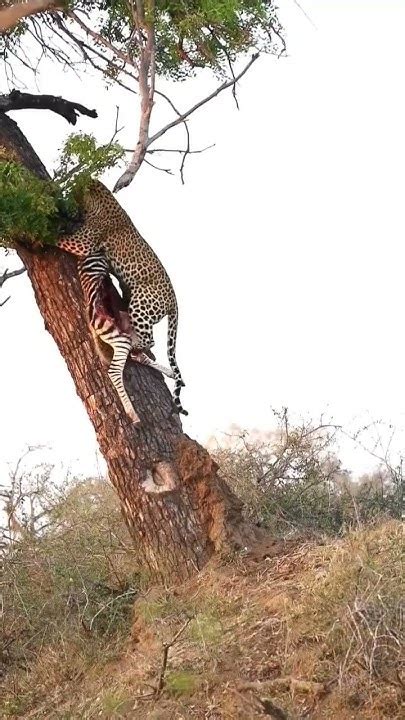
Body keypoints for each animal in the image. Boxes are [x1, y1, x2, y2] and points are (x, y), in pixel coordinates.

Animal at [57, 180, 187, 417]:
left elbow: (56, 239)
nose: (68, 202)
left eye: (75, 193)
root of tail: (175, 302)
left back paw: (134, 343)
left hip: (141, 305)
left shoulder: (83, 243)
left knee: (147, 341)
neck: (101, 197)